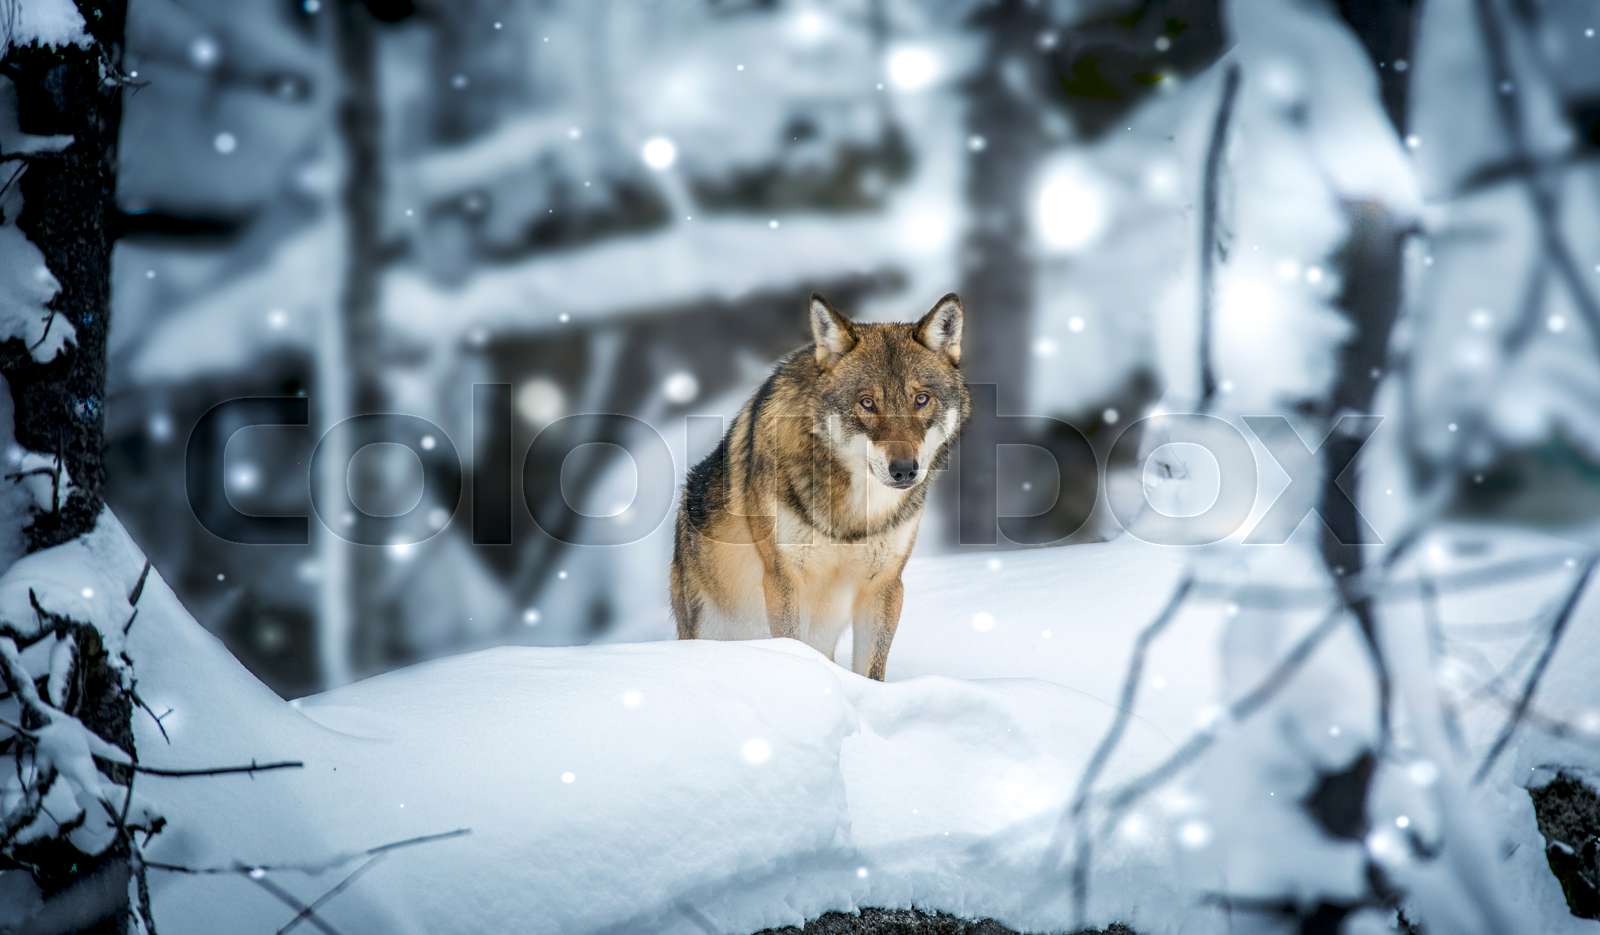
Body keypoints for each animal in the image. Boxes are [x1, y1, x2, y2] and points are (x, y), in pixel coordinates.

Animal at [671, 292, 971, 680]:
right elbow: (790, 644)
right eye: (867, 403)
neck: (853, 518)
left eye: (921, 399)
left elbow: (871, 670)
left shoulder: (885, 585)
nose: (904, 470)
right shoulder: (783, 579)